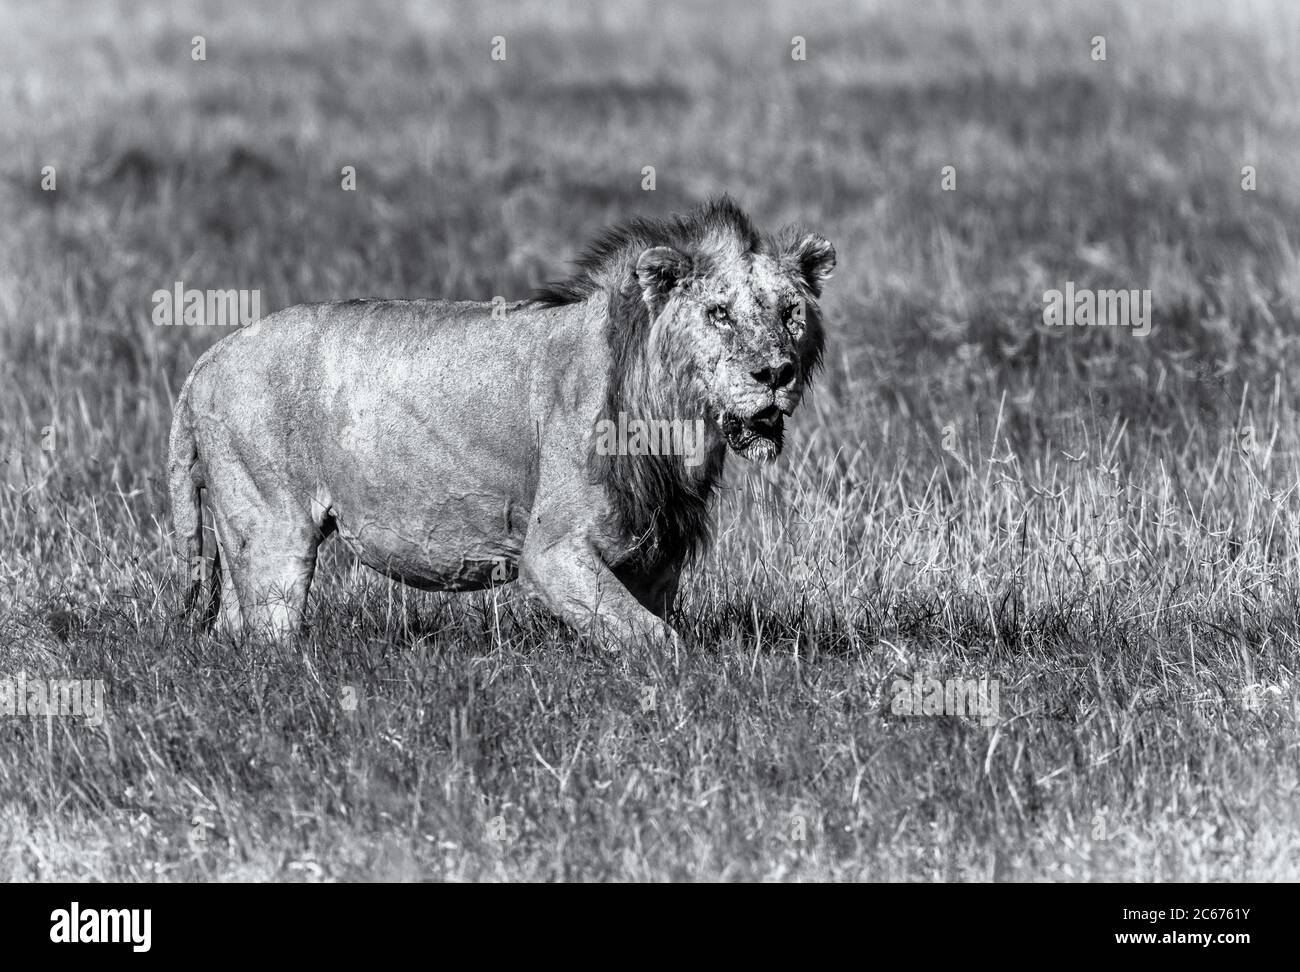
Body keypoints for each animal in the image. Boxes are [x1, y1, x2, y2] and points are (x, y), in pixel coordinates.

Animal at [168, 196, 835, 646]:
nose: (775, 373)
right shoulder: (553, 549)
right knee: (268, 638)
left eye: (790, 312)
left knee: (230, 633)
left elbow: (641, 621)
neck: (680, 425)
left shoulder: (658, 551)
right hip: (274, 534)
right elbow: (657, 640)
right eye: (719, 313)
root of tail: (206, 359)